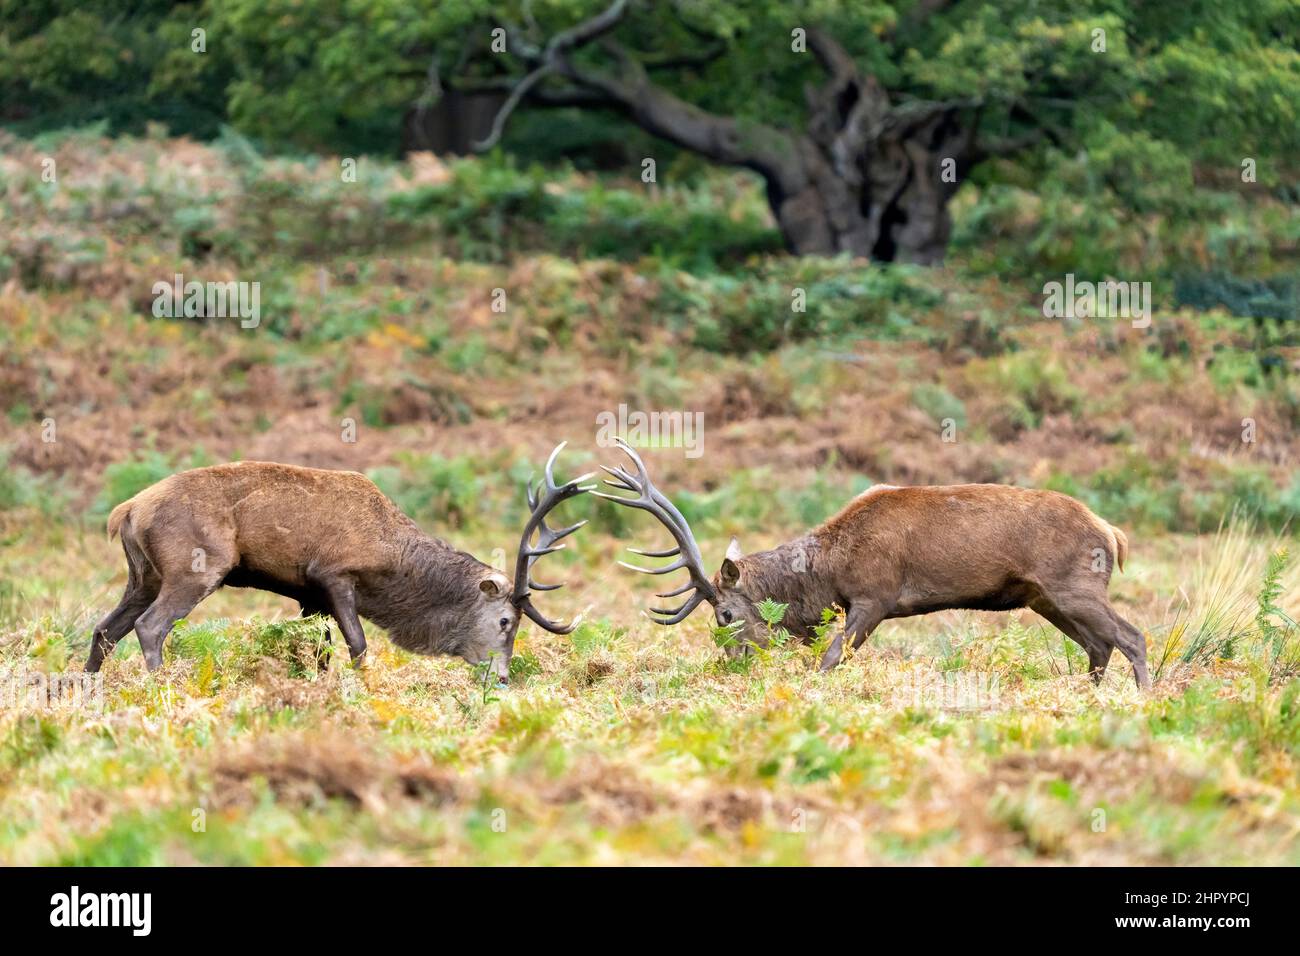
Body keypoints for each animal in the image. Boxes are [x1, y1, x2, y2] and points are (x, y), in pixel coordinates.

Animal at [86, 443, 594, 682]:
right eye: (506, 620)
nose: (502, 677)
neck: (390, 558)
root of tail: (125, 510)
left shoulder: (308, 596)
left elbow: (318, 653)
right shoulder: (333, 574)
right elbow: (359, 645)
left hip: (143, 575)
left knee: (105, 629)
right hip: (197, 565)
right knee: (149, 626)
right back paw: (163, 687)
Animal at [596, 440, 1150, 689]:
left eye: (725, 614)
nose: (736, 664)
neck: (827, 570)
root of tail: (1112, 532)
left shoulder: (874, 596)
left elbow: (832, 656)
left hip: (1074, 582)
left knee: (1132, 636)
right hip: (1044, 597)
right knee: (1098, 645)